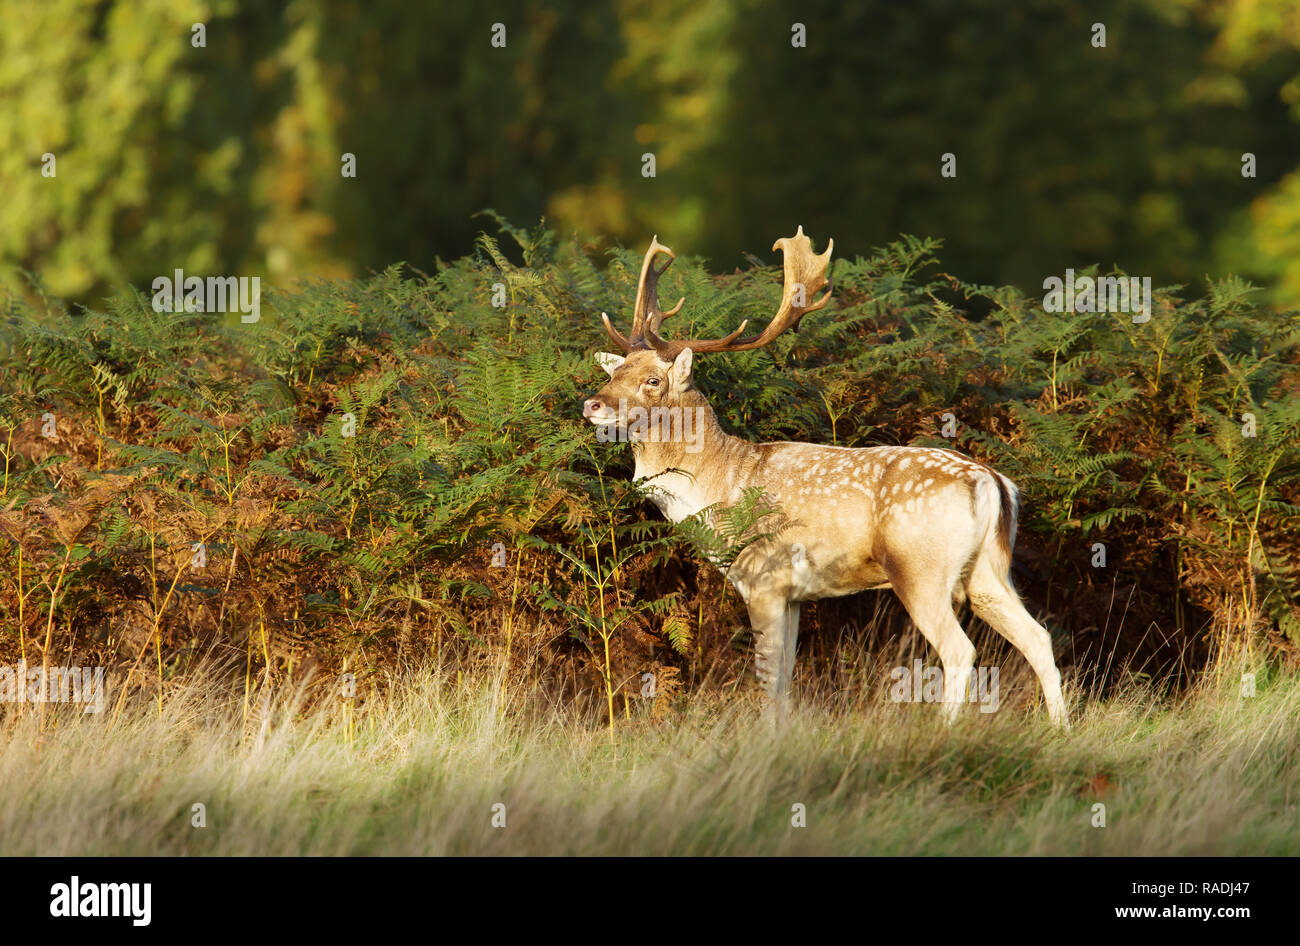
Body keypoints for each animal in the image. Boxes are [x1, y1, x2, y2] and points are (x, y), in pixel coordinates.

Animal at [582, 229, 1068, 727]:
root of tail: (993, 483)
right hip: (989, 570)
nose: (592, 404)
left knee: (960, 650)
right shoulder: (796, 594)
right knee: (1039, 638)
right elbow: (785, 678)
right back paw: (1060, 730)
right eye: (616, 372)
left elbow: (768, 679)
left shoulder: (764, 578)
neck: (722, 484)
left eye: (653, 381)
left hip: (922, 568)